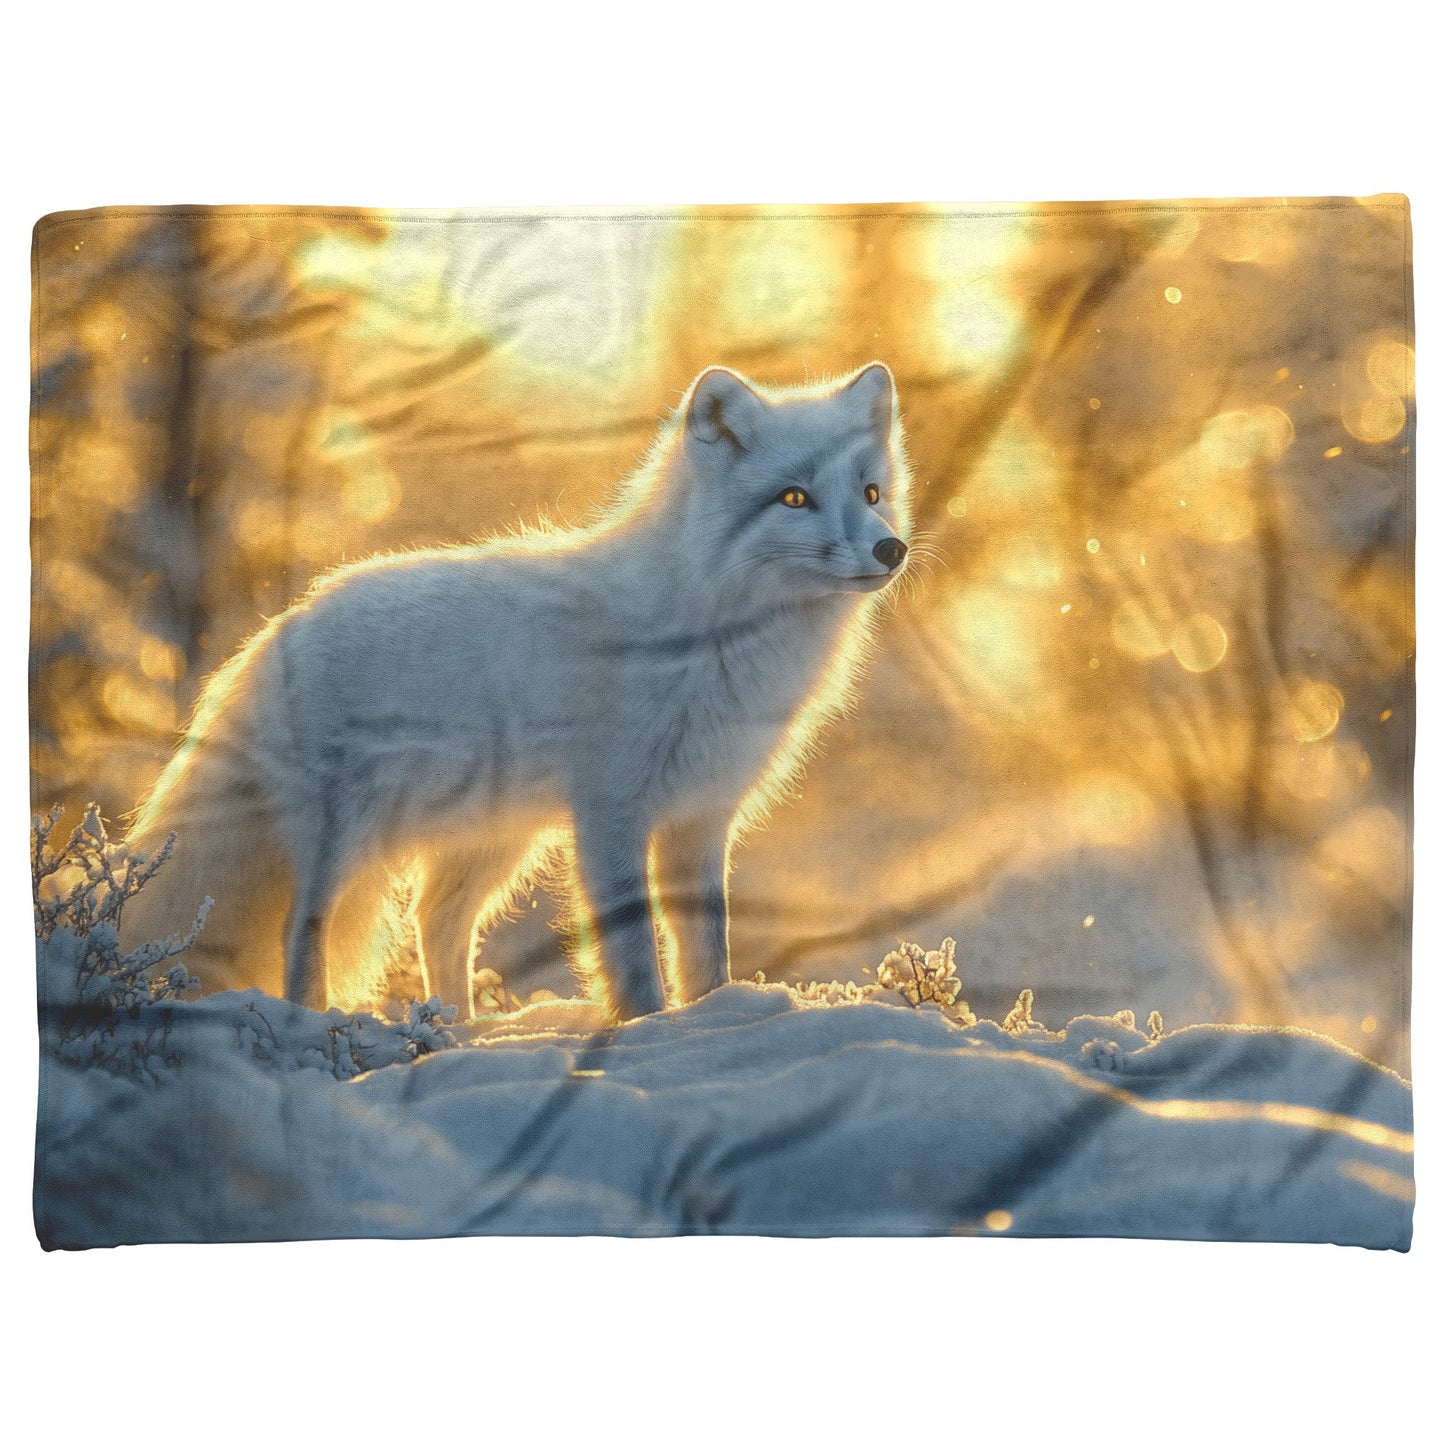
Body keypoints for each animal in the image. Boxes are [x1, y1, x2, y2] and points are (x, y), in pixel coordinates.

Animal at [123, 363, 913, 1021]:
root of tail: (275, 632)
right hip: (342, 843)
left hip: (491, 843)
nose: (891, 549)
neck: (712, 634)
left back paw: (459, 1031)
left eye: (872, 493)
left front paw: (711, 1021)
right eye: (794, 497)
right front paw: (647, 1029)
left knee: (437, 922)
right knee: (302, 929)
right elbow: (632, 954)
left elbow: (705, 952)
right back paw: (316, 1024)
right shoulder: (610, 813)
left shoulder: (700, 817)